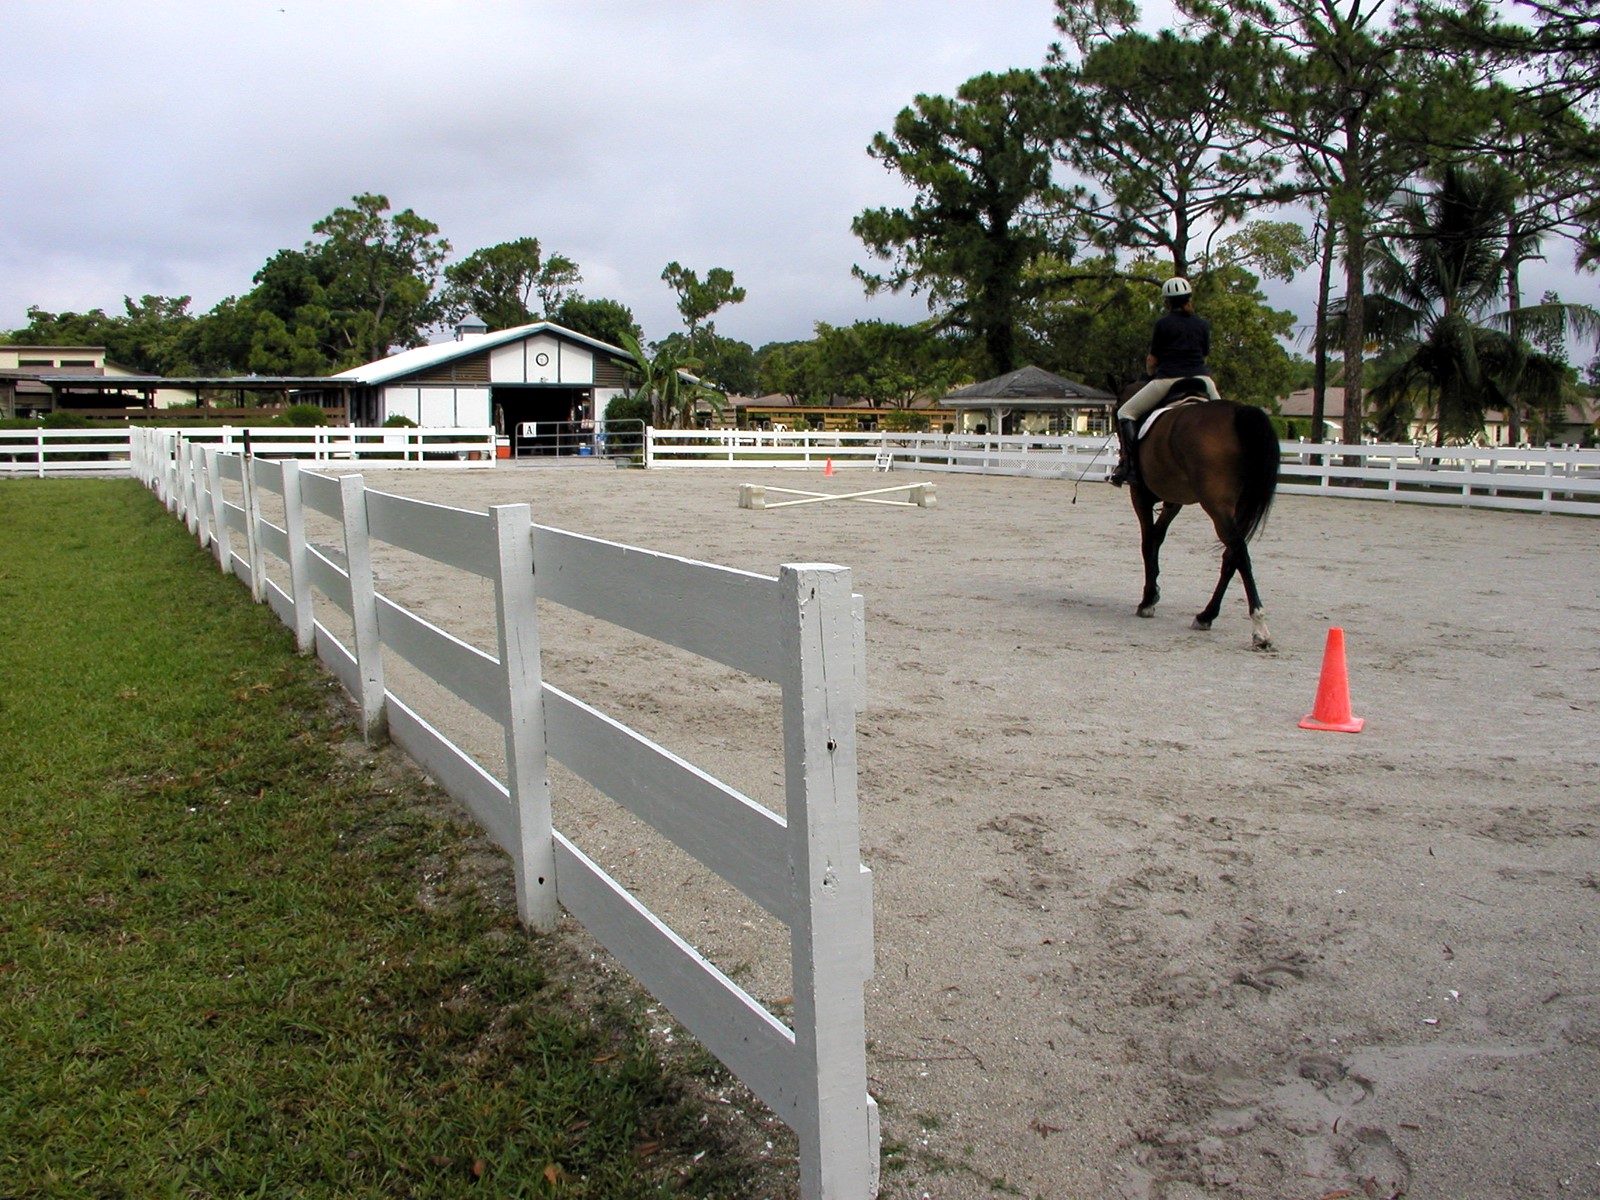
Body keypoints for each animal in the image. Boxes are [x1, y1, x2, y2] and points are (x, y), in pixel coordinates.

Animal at [1119, 380, 1280, 649]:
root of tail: (1239, 413)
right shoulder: (1174, 501)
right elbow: (1157, 539)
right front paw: (1153, 594)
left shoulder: (1140, 495)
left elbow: (1147, 542)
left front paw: (1148, 600)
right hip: (1236, 507)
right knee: (1232, 555)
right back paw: (1206, 616)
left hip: (1216, 503)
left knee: (1239, 552)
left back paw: (1260, 629)